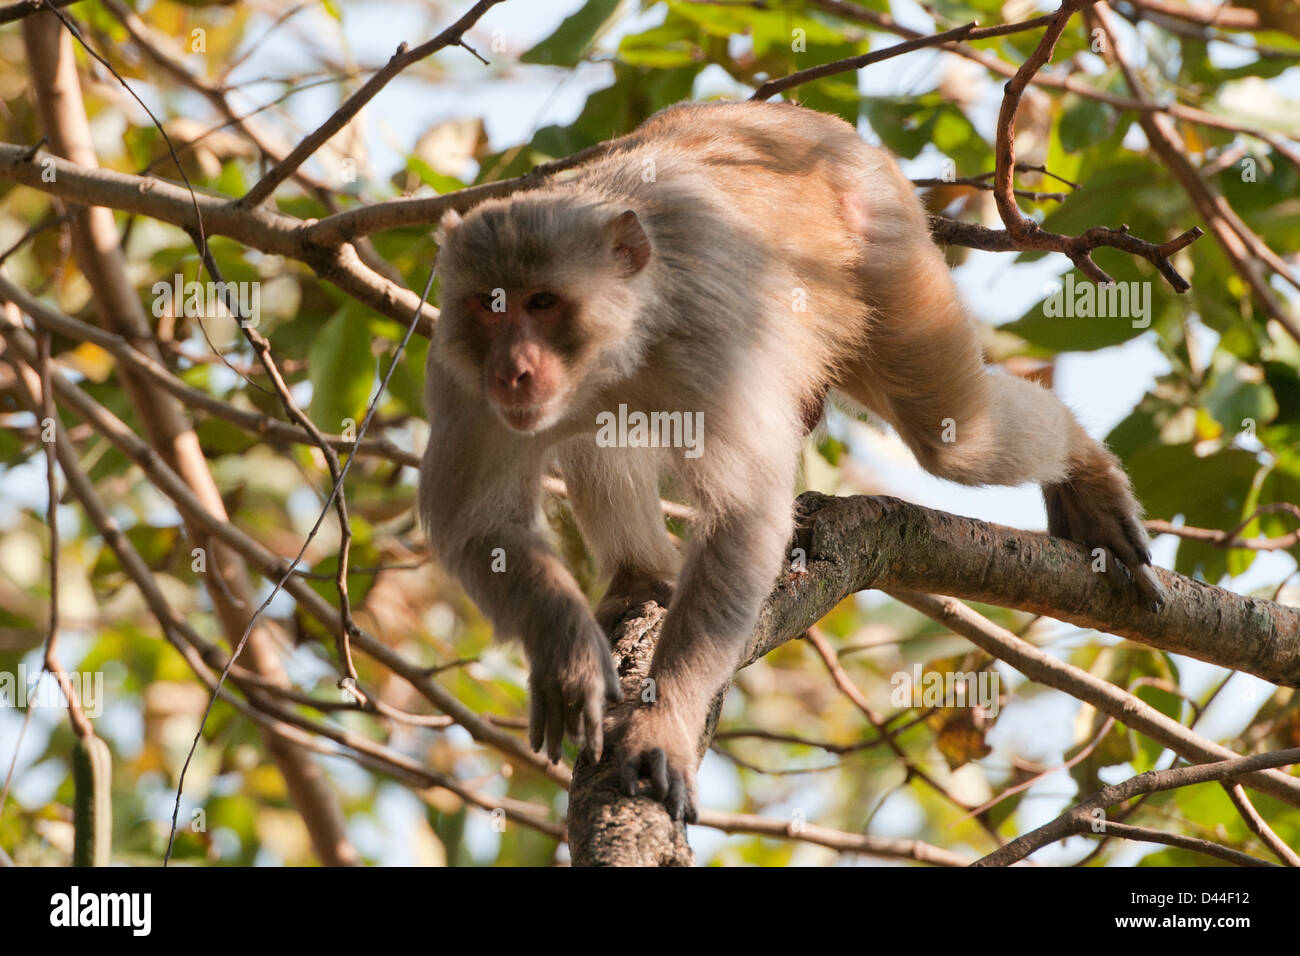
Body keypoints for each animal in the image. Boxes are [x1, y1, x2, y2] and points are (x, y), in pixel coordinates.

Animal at [418, 100, 1163, 824]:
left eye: (542, 302)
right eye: (489, 307)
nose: (513, 370)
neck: (625, 333)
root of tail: (800, 118)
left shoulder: (716, 342)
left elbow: (744, 518)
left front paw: (662, 723)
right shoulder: (458, 373)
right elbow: (480, 527)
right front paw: (566, 653)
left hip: (887, 245)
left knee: (952, 435)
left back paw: (1086, 472)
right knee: (600, 434)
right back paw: (638, 579)